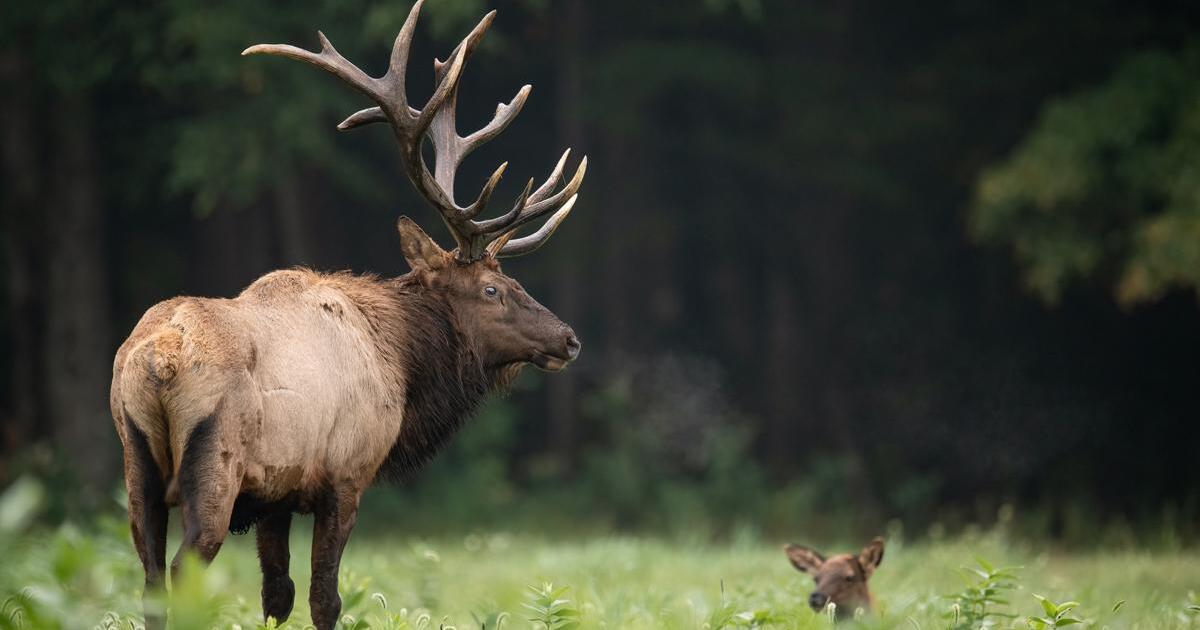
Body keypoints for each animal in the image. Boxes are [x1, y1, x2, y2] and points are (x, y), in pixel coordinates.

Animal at [108, 3, 585, 628]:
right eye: (491, 289)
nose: (569, 339)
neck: (401, 364)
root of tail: (159, 360)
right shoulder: (345, 476)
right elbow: (325, 599)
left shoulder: (276, 495)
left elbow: (277, 595)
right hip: (214, 470)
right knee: (183, 576)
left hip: (135, 468)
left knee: (150, 584)